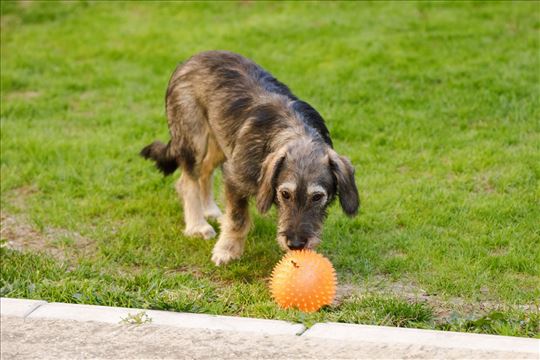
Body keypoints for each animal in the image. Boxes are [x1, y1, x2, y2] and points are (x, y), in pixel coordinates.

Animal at [141, 50, 358, 264]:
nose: (295, 244)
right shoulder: (234, 179)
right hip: (194, 139)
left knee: (205, 172)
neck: (294, 130)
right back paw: (197, 225)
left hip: (220, 143)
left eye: (317, 197)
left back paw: (210, 210)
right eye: (285, 194)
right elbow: (238, 219)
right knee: (188, 181)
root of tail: (191, 59)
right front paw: (227, 250)